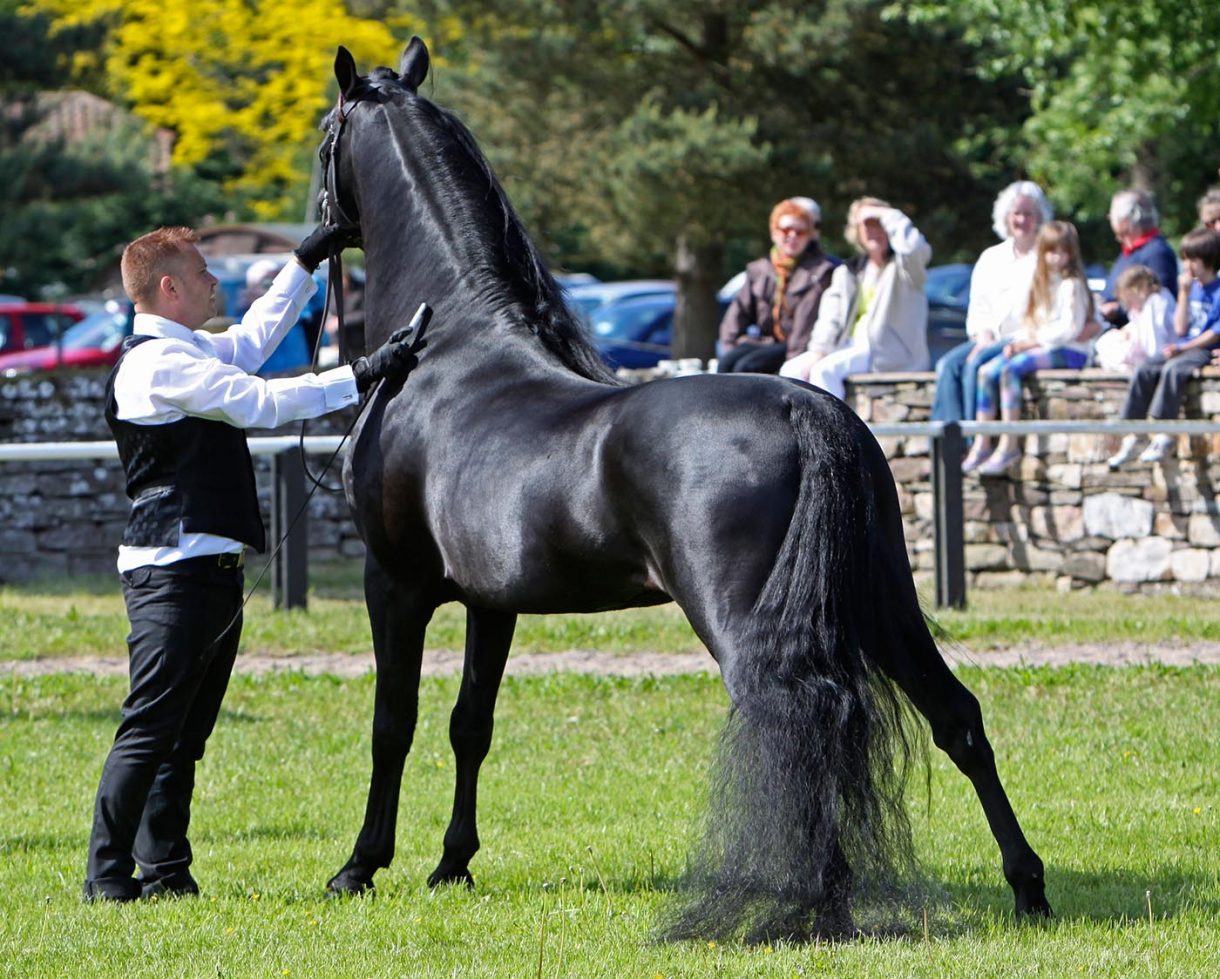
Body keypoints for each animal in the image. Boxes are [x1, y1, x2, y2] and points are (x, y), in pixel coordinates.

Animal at [317, 37, 1051, 941]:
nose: (312, 239)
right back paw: (1024, 885)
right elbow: (470, 725)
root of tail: (805, 406)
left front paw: (359, 865)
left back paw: (811, 902)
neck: (446, 355)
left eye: (326, 136)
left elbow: (393, 724)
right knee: (955, 716)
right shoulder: (493, 602)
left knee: (801, 717)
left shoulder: (395, 583)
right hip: (884, 600)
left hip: (749, 619)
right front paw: (453, 862)